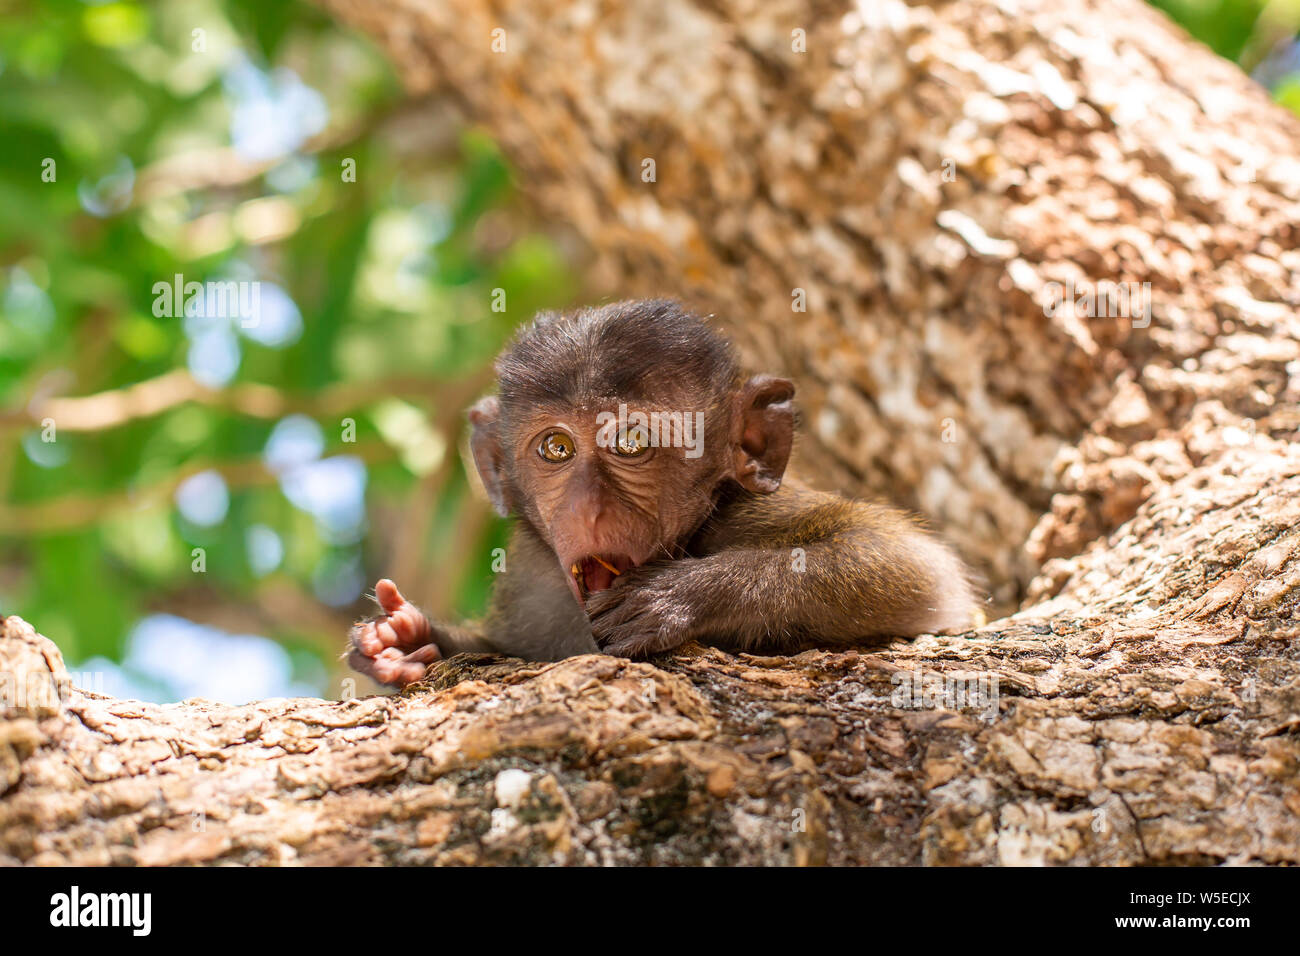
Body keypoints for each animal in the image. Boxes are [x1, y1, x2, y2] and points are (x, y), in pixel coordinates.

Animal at [347, 299, 976, 689]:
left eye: (631, 440)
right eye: (556, 448)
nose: (587, 507)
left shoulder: (750, 513)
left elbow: (922, 574)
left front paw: (678, 596)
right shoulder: (531, 577)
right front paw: (404, 642)